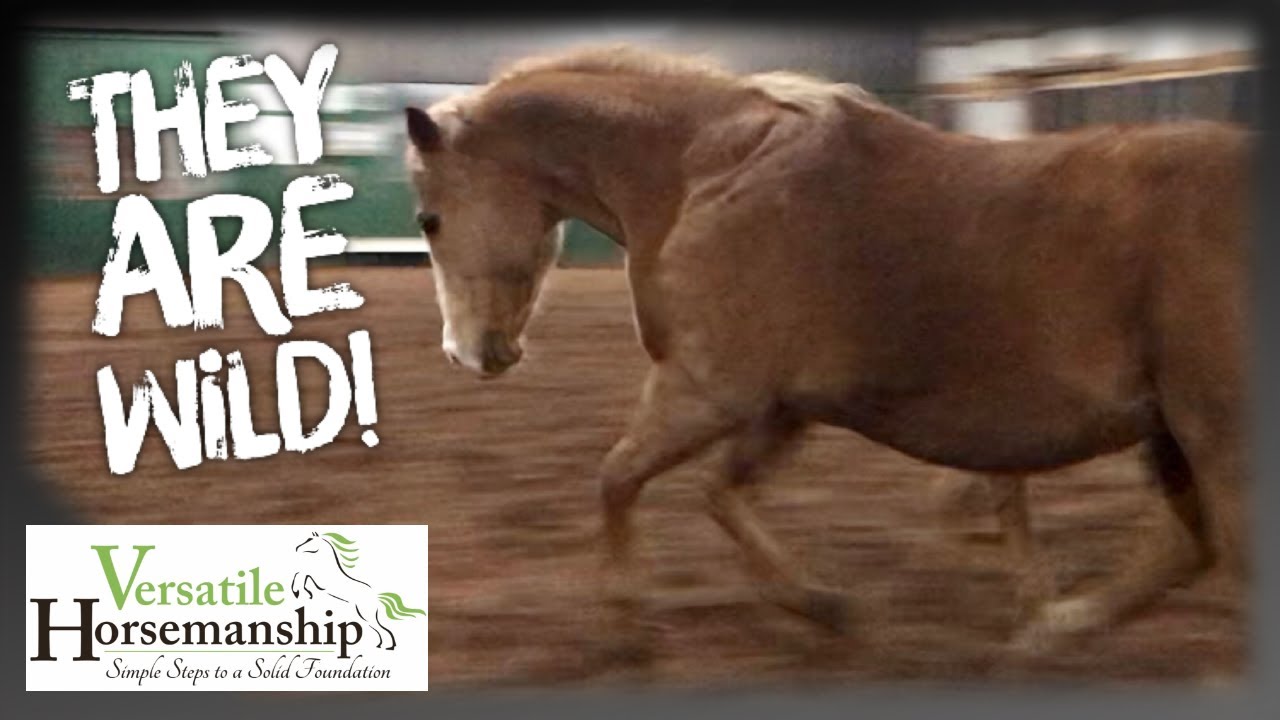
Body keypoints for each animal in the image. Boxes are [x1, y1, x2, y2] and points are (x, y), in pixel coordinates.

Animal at [292, 531, 426, 650]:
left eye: (310, 540)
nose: (297, 548)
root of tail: (376, 597)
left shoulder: (317, 579)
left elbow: (300, 575)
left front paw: (297, 592)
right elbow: (301, 576)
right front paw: (305, 593)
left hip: (366, 614)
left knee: (382, 629)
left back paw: (388, 646)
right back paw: (382, 645)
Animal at [402, 45, 1249, 654]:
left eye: (428, 220)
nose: (470, 354)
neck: (703, 174)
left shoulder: (706, 390)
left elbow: (616, 480)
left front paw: (624, 625)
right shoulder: (783, 408)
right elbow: (719, 494)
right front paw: (827, 606)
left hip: (1212, 430)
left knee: (1219, 548)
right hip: (1173, 431)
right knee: (1192, 548)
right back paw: (1057, 625)